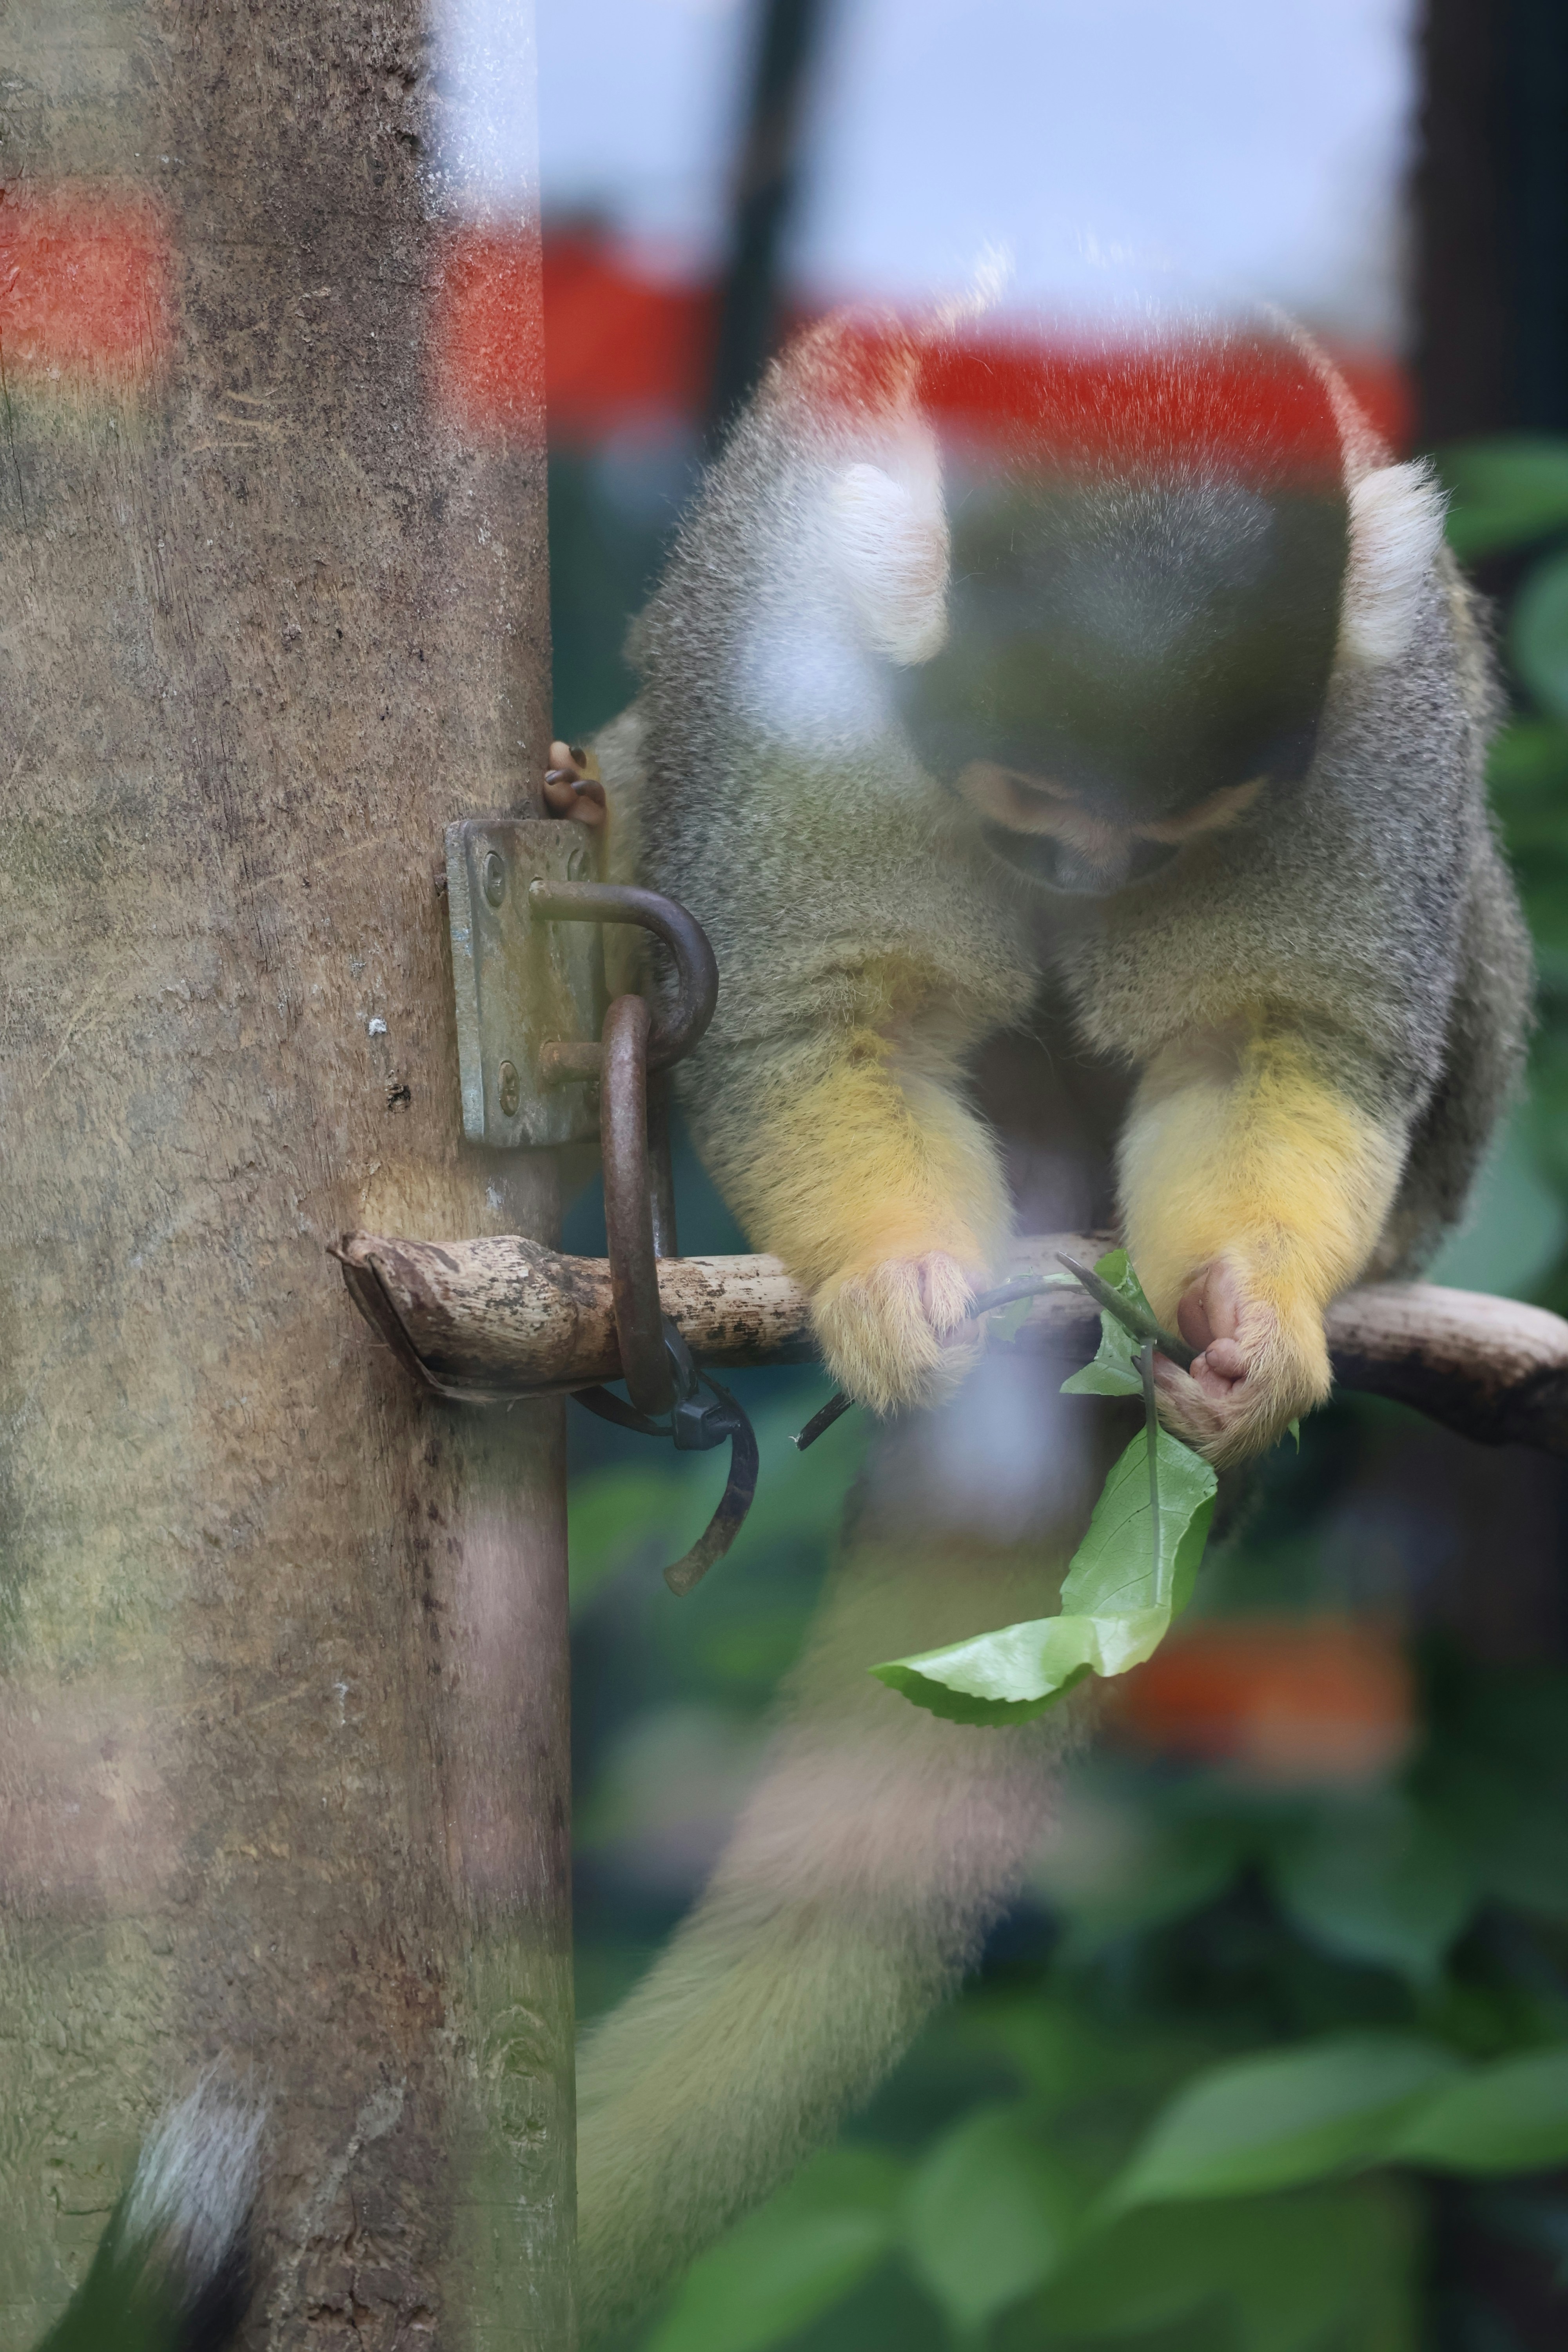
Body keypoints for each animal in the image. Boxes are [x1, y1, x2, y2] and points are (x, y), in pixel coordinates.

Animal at [542, 307, 1533, 2340]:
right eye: (1024, 802)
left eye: (1184, 819)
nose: (1089, 876)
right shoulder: (799, 646)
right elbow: (816, 1010)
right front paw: (883, 1283)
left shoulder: (1371, 717)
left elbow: (1273, 1034)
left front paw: (1255, 1328)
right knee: (651, 786)